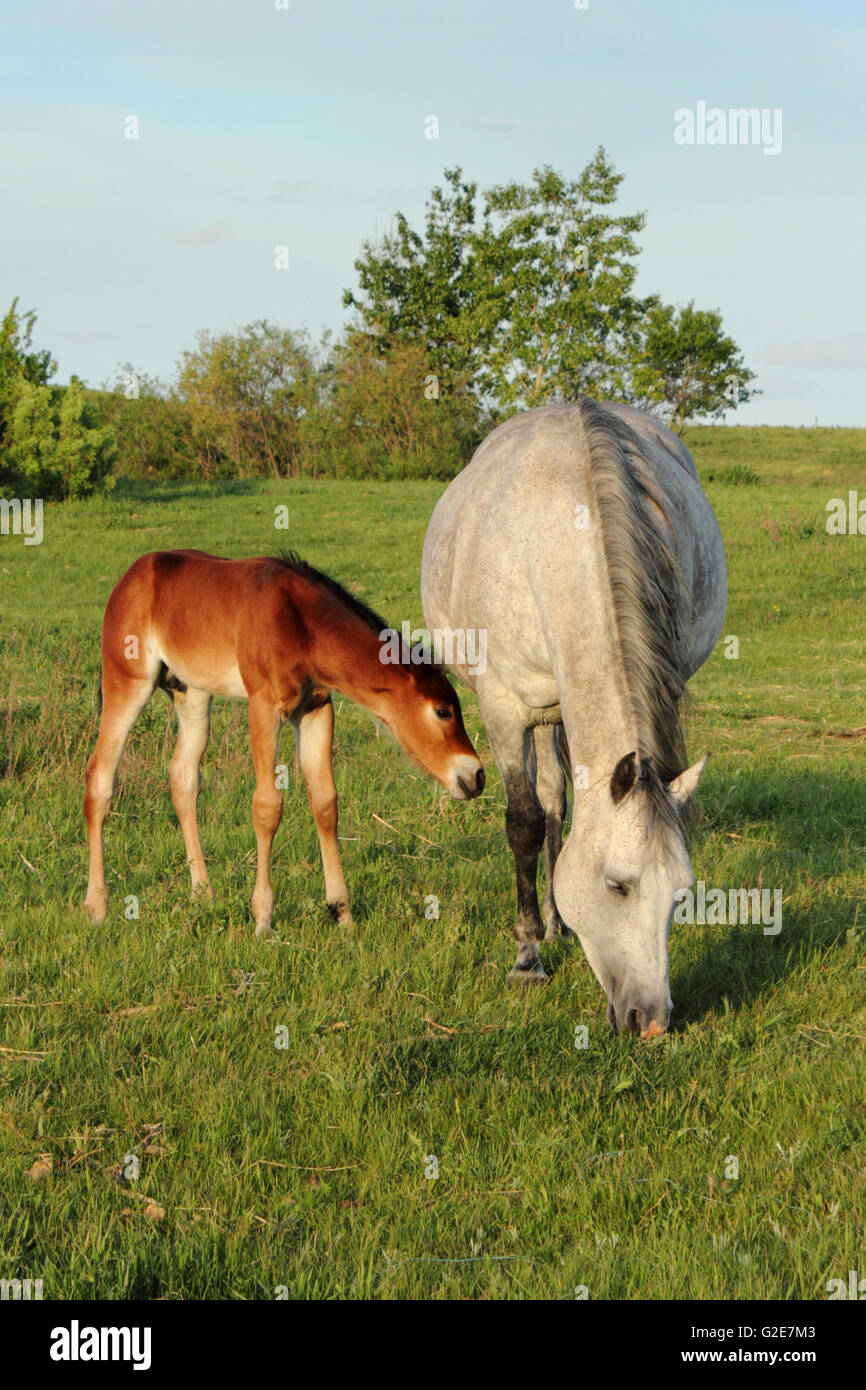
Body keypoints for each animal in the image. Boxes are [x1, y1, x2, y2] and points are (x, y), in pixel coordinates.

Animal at [84, 549, 485, 936]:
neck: (300, 624)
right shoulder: (264, 706)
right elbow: (267, 806)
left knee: (182, 778)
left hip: (192, 695)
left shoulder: (316, 709)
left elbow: (325, 802)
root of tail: (131, 578)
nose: (477, 776)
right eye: (443, 712)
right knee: (99, 778)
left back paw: (202, 894)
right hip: (128, 682)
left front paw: (342, 913)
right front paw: (263, 918)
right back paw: (97, 907)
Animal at [421, 399, 726, 1036]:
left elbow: (555, 811)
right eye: (618, 885)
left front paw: (553, 925)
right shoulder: (506, 711)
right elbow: (523, 823)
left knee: (560, 798)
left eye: (681, 893)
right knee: (546, 804)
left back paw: (559, 920)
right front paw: (528, 956)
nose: (651, 1021)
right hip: (542, 713)